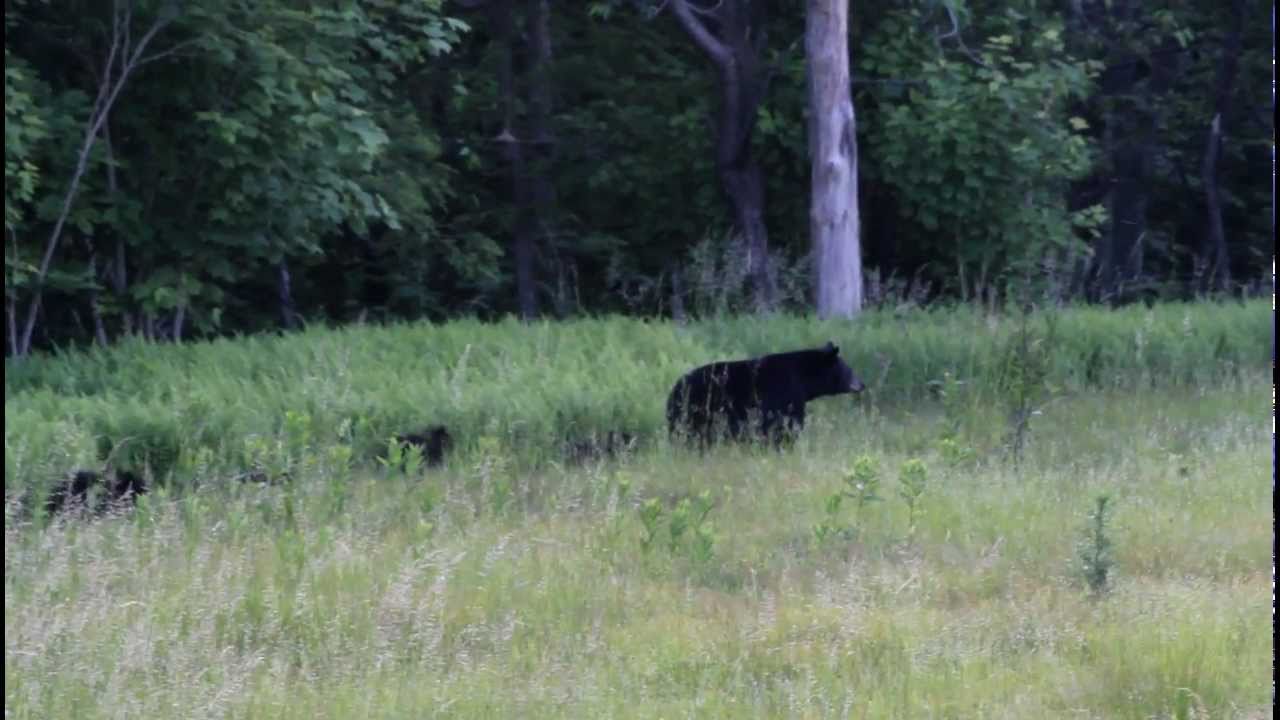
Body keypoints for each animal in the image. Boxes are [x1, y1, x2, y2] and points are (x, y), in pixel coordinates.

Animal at [666, 341, 865, 448]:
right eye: (848, 369)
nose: (861, 384)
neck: (803, 377)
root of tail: (673, 391)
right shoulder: (786, 394)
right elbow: (784, 424)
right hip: (697, 412)